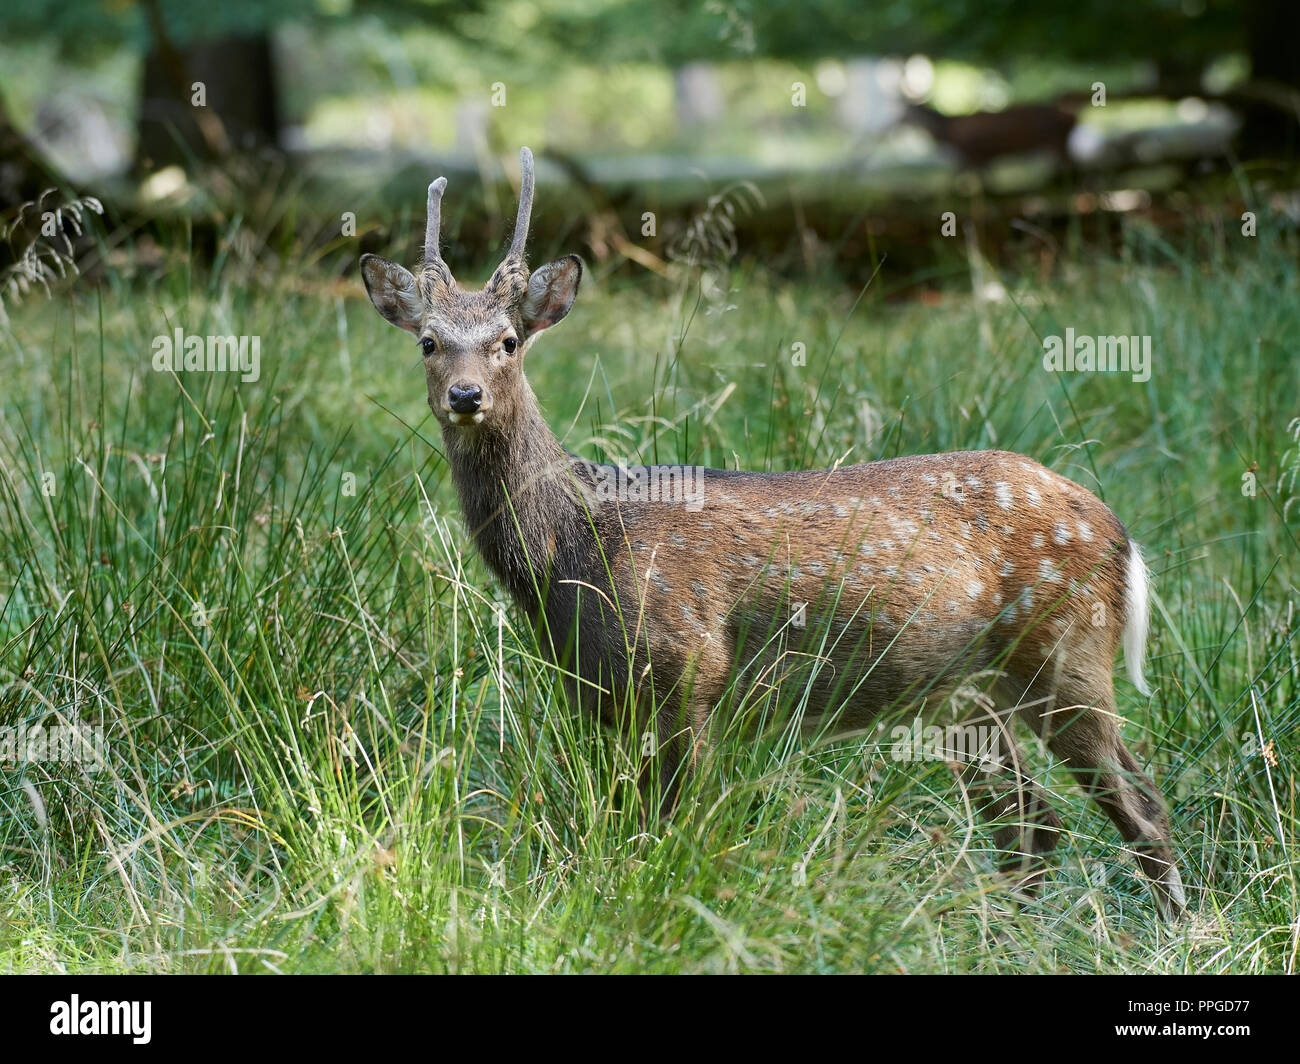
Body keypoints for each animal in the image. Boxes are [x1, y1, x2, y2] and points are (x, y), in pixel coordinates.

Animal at [359, 147, 1186, 921]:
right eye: (428, 341)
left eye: (508, 340)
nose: (466, 395)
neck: (572, 552)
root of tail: (1119, 532)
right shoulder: (596, 695)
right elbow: (624, 823)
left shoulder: (688, 670)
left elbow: (669, 829)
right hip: (968, 694)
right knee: (1031, 824)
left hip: (1068, 650)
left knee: (1141, 807)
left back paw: (1176, 927)